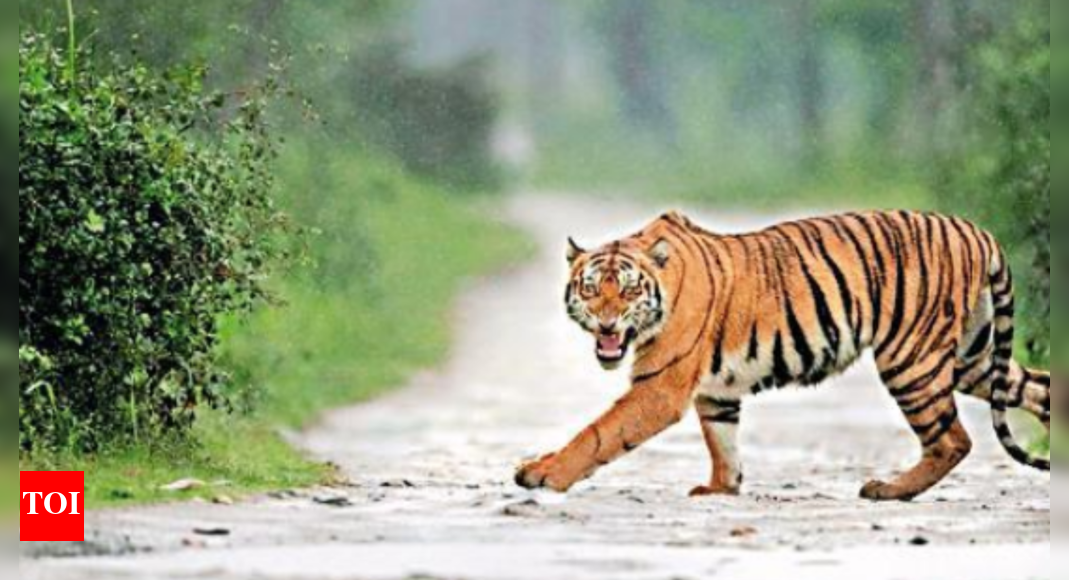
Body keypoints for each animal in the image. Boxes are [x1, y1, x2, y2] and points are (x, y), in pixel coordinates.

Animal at [515, 210, 1050, 501]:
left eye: (627, 291)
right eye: (590, 290)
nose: (607, 325)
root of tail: (976, 231)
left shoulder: (661, 386)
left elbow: (597, 434)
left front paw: (545, 474)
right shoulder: (715, 392)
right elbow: (722, 442)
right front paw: (721, 488)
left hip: (911, 359)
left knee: (953, 440)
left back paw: (888, 490)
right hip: (971, 358)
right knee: (1040, 386)